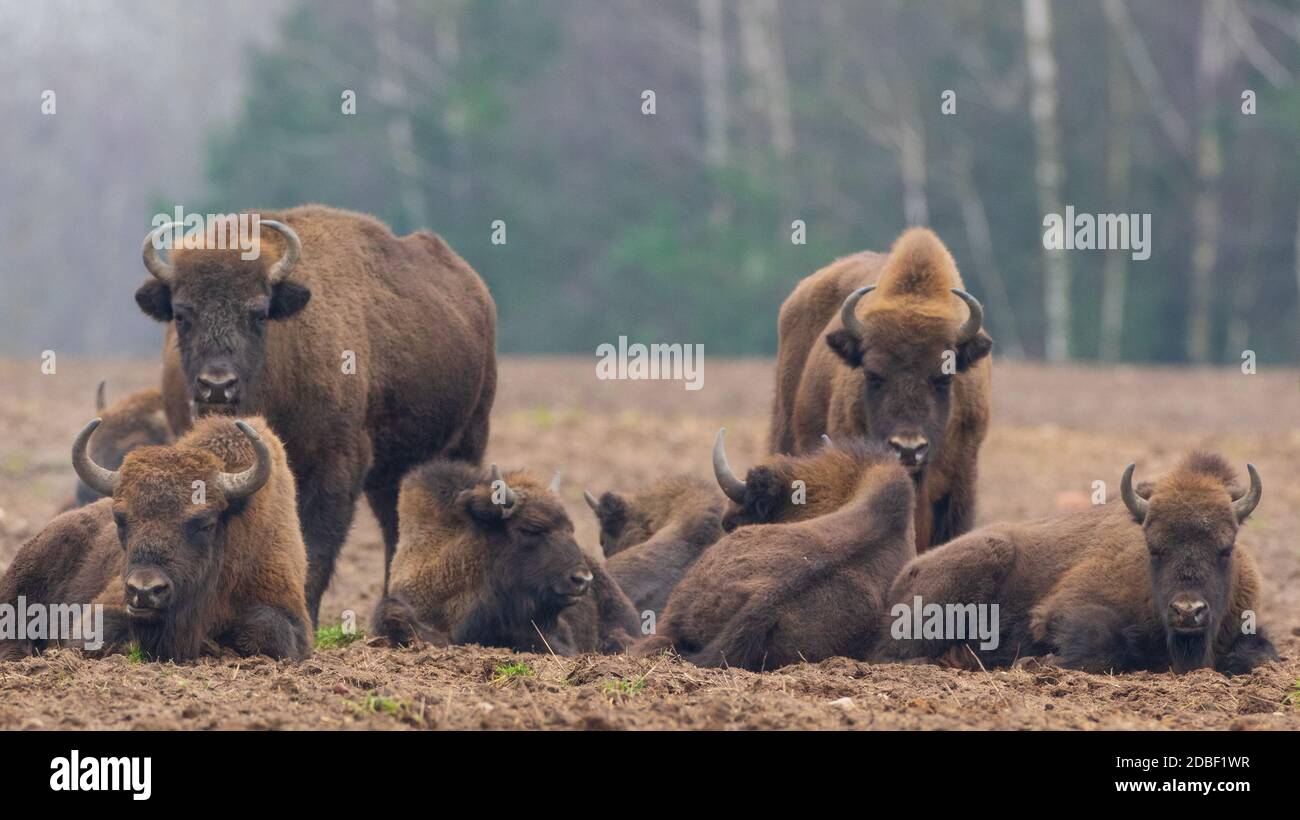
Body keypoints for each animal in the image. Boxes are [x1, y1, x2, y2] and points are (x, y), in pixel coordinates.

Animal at [135, 206, 497, 623]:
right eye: (181, 314)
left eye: (258, 314)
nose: (217, 386)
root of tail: (476, 290)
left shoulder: (335, 467)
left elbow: (316, 548)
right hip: (391, 471)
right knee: (394, 524)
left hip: (470, 435)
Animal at [876, 452, 1277, 675]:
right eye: (1154, 548)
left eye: (1225, 548)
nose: (1188, 611)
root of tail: (904, 574)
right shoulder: (1066, 608)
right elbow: (1102, 645)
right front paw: (1033, 663)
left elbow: (1259, 655)